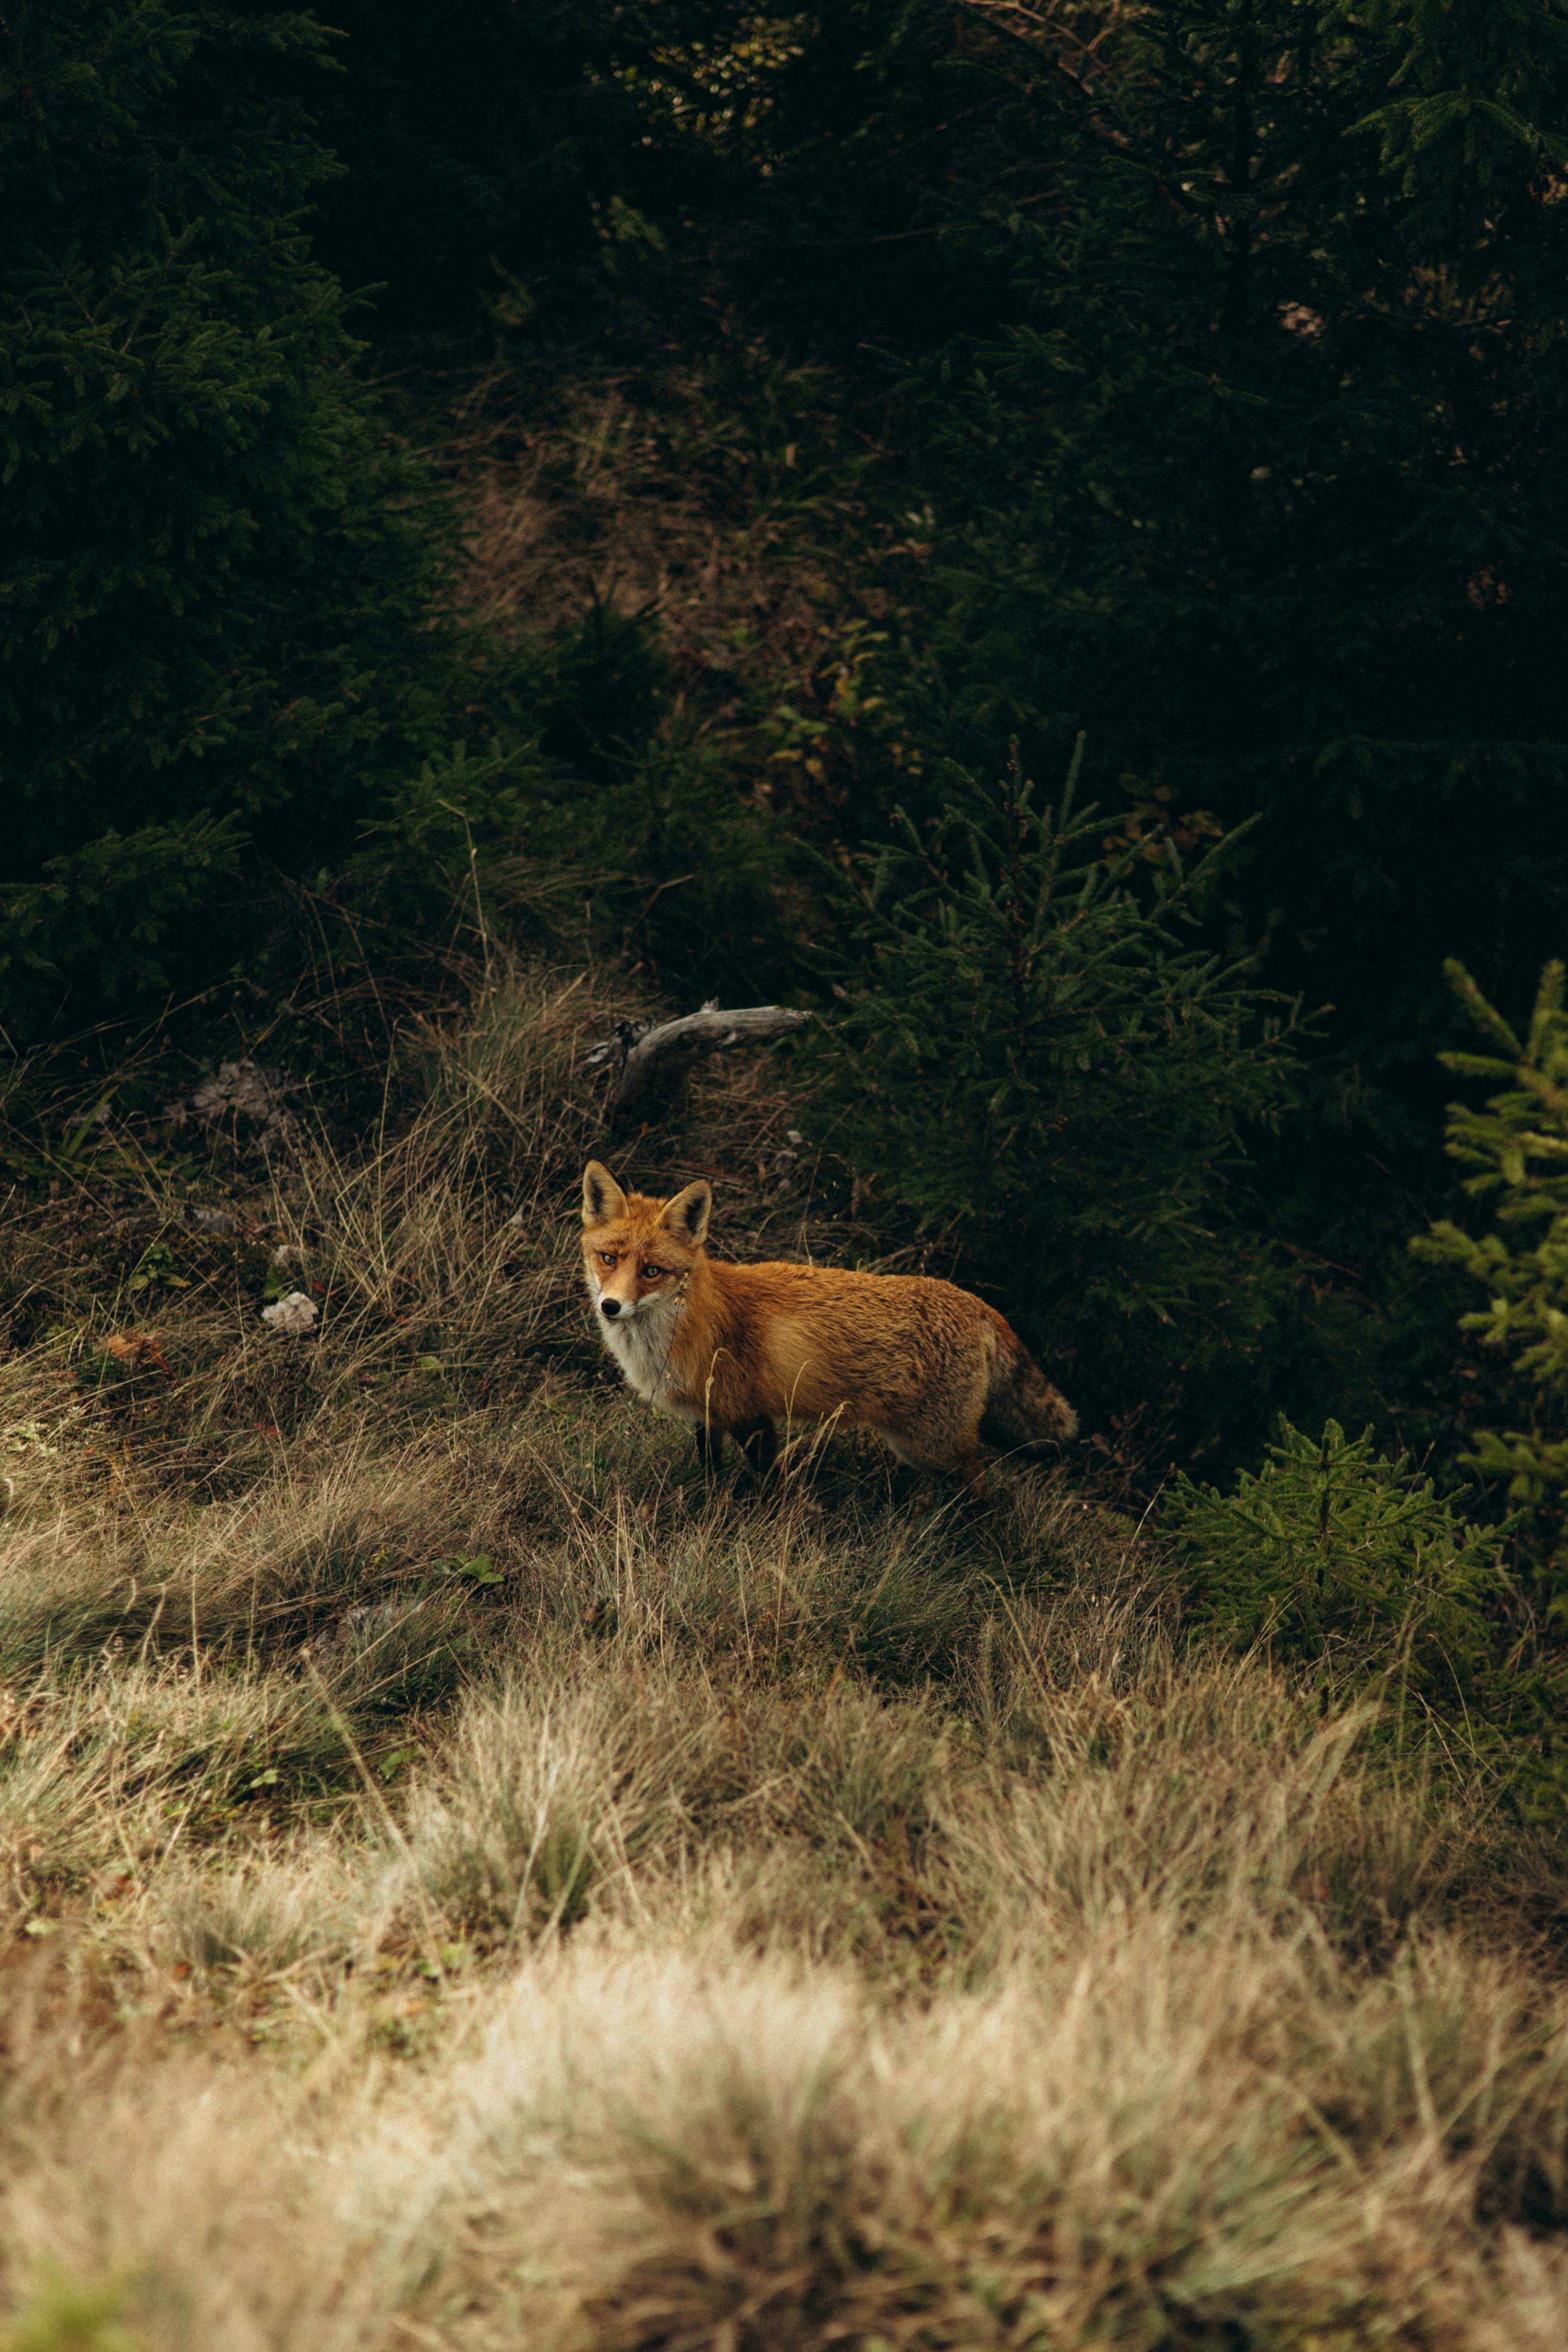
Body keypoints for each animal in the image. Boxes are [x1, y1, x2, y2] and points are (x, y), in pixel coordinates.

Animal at [580, 1160, 1077, 1494]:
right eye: (609, 1259)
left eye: (652, 1271)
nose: (611, 1306)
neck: (684, 1330)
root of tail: (979, 1304)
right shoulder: (711, 1416)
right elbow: (711, 1472)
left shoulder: (752, 1416)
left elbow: (772, 1483)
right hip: (917, 1444)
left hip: (934, 1444)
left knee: (984, 1488)